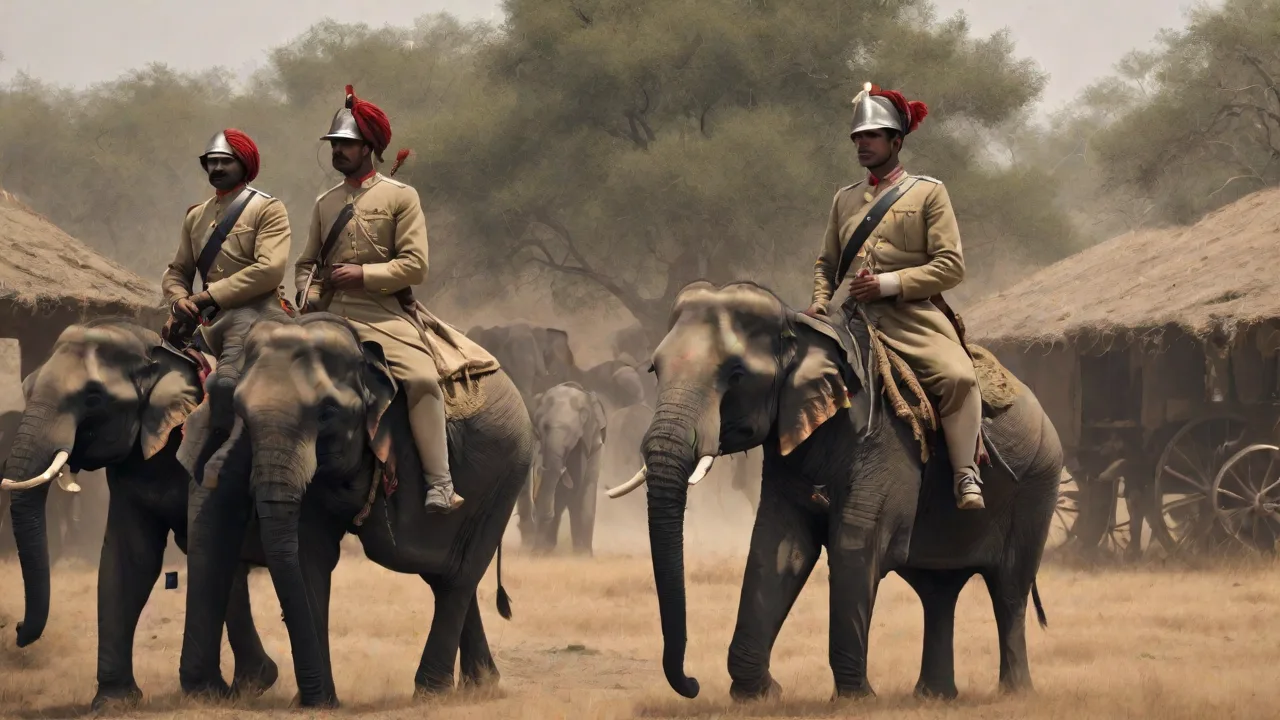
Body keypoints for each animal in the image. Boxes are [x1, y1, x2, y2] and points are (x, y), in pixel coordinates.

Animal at [0, 318, 277, 710]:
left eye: (94, 397)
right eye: (25, 388)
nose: (17, 630)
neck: (159, 352)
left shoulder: (210, 447)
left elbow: (207, 545)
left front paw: (203, 694)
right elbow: (132, 557)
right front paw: (113, 702)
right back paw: (255, 684)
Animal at [178, 311, 534, 708]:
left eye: (327, 413)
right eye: (241, 412)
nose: (314, 697)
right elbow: (310, 556)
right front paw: (318, 704)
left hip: (507, 471)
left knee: (454, 570)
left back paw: (433, 692)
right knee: (442, 569)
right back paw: (481, 684)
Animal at [528, 382, 607, 555]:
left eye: (575, 435)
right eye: (544, 427)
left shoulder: (584, 443)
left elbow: (575, 487)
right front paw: (540, 553)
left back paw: (583, 554)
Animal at [612, 281, 1062, 702]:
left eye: (736, 375)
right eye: (654, 371)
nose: (692, 683)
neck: (798, 325)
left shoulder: (885, 438)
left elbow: (855, 543)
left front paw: (856, 699)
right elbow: (779, 543)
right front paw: (760, 695)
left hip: (1039, 483)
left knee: (1009, 589)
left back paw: (1014, 694)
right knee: (938, 591)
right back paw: (933, 697)